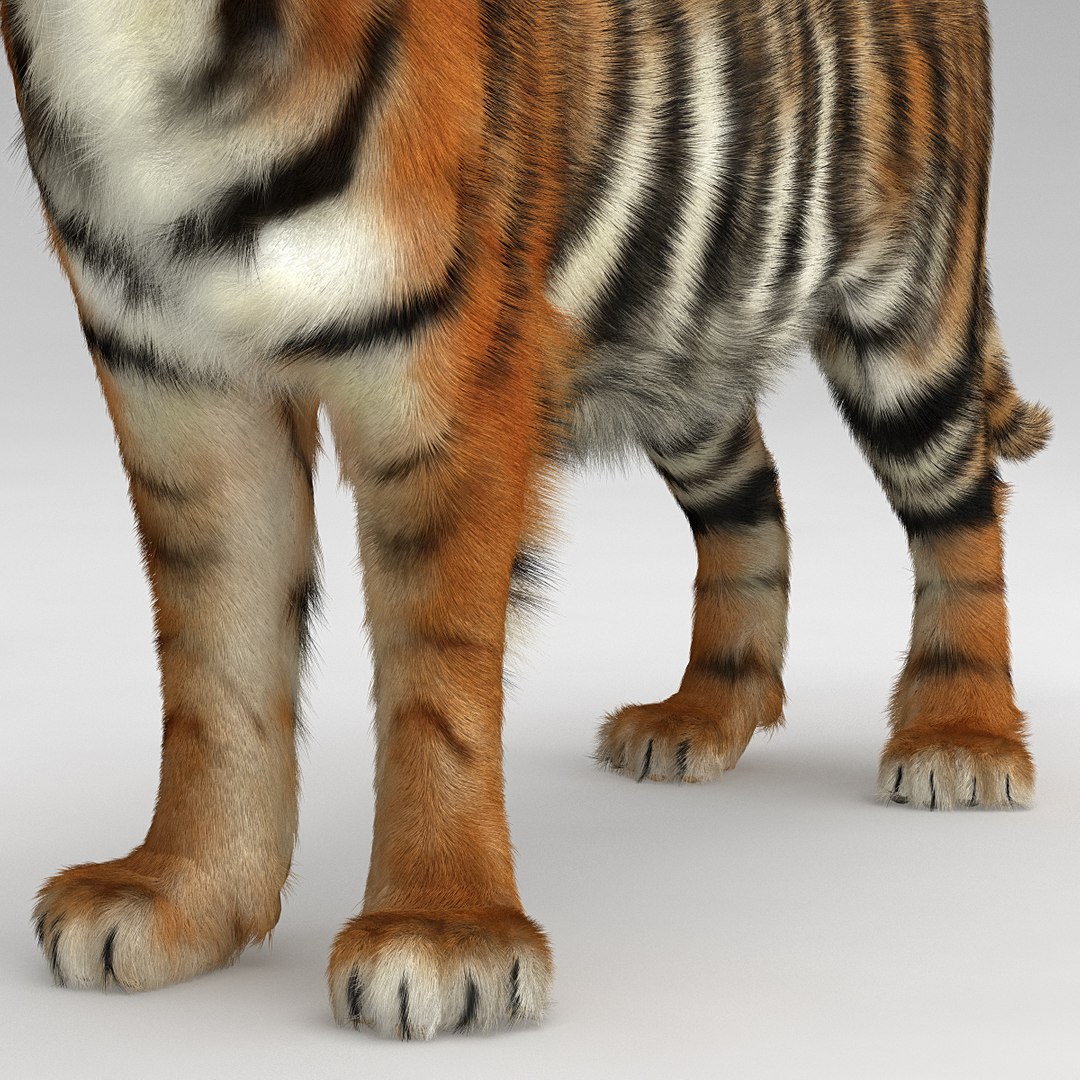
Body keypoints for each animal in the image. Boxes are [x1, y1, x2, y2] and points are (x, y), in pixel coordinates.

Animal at [2, 0, 1050, 1041]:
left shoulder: (446, 380)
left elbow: (435, 682)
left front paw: (441, 936)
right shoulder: (180, 380)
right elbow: (215, 677)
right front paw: (177, 897)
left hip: (907, 312)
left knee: (963, 510)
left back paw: (962, 738)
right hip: (687, 355)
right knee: (752, 507)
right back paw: (702, 716)